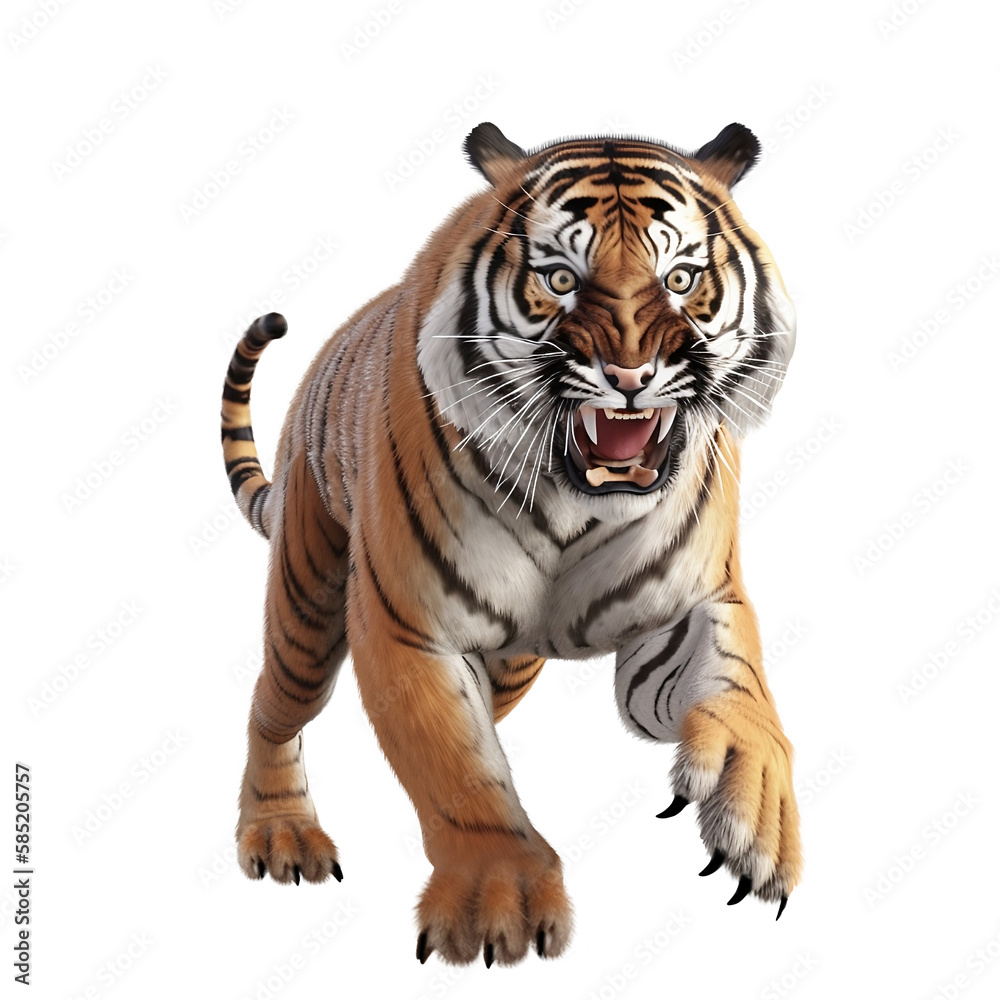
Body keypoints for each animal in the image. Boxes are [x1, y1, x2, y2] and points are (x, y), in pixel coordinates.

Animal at [220, 121, 802, 967]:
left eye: (682, 278)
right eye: (560, 278)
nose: (631, 374)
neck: (576, 502)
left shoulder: (688, 605)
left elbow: (741, 692)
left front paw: (753, 810)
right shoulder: (410, 627)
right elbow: (457, 769)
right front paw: (499, 901)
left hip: (512, 662)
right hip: (307, 593)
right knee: (273, 708)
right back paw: (280, 832)